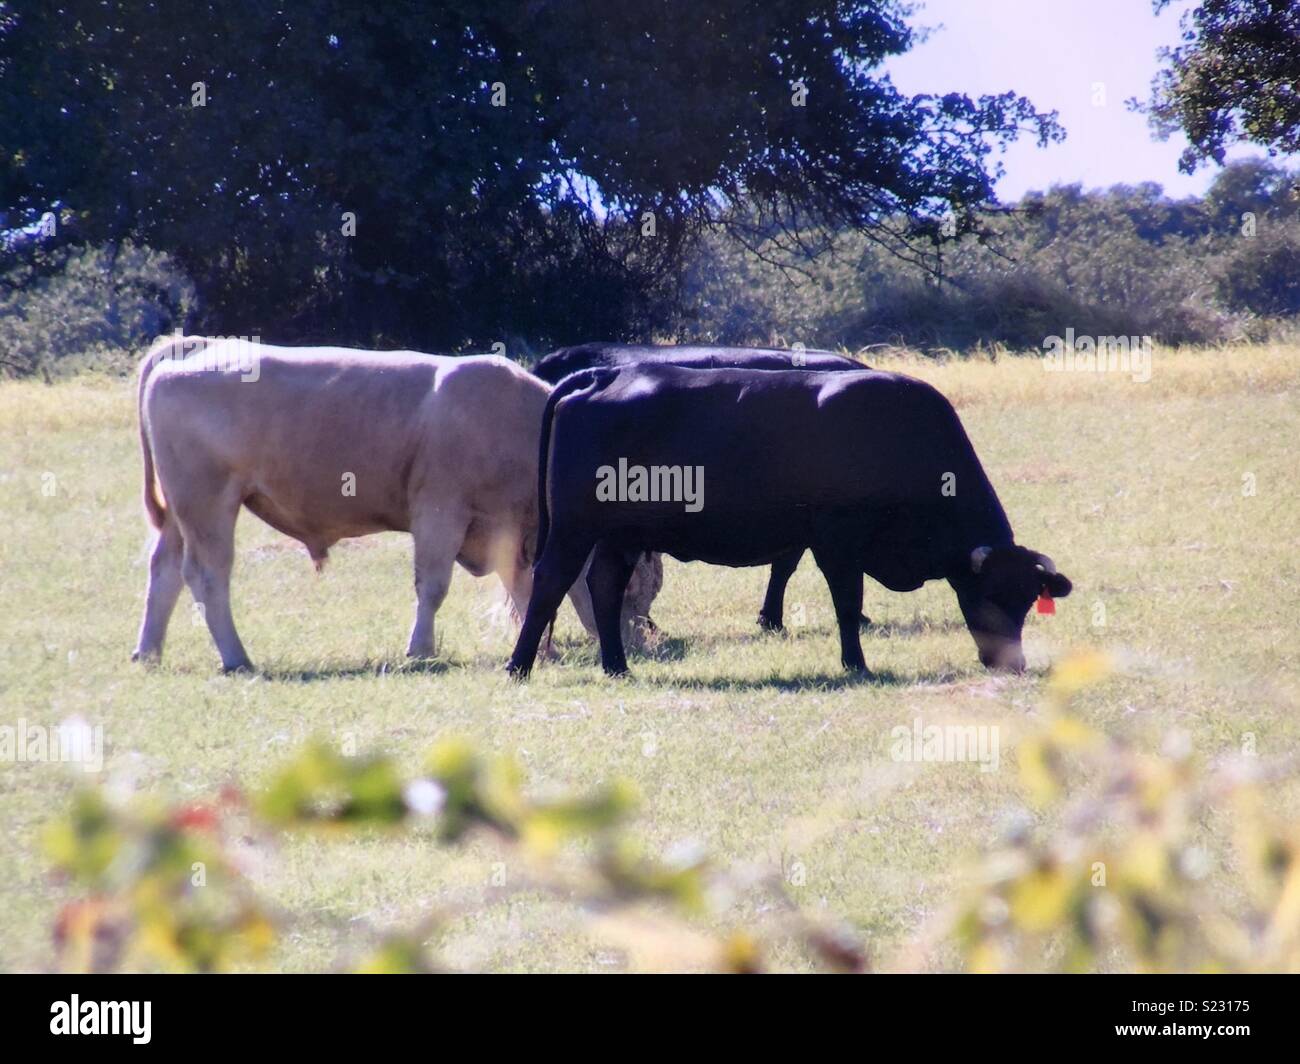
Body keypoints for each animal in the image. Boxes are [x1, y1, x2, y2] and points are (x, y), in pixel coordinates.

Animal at [132, 335, 602, 672]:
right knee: (207, 575)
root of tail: (202, 345)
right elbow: (433, 585)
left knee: (164, 570)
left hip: (180, 514)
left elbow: (524, 586)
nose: (617, 635)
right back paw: (236, 658)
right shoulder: (440, 510)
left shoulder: (505, 530)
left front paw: (544, 652)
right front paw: (421, 649)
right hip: (207, 504)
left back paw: (148, 653)